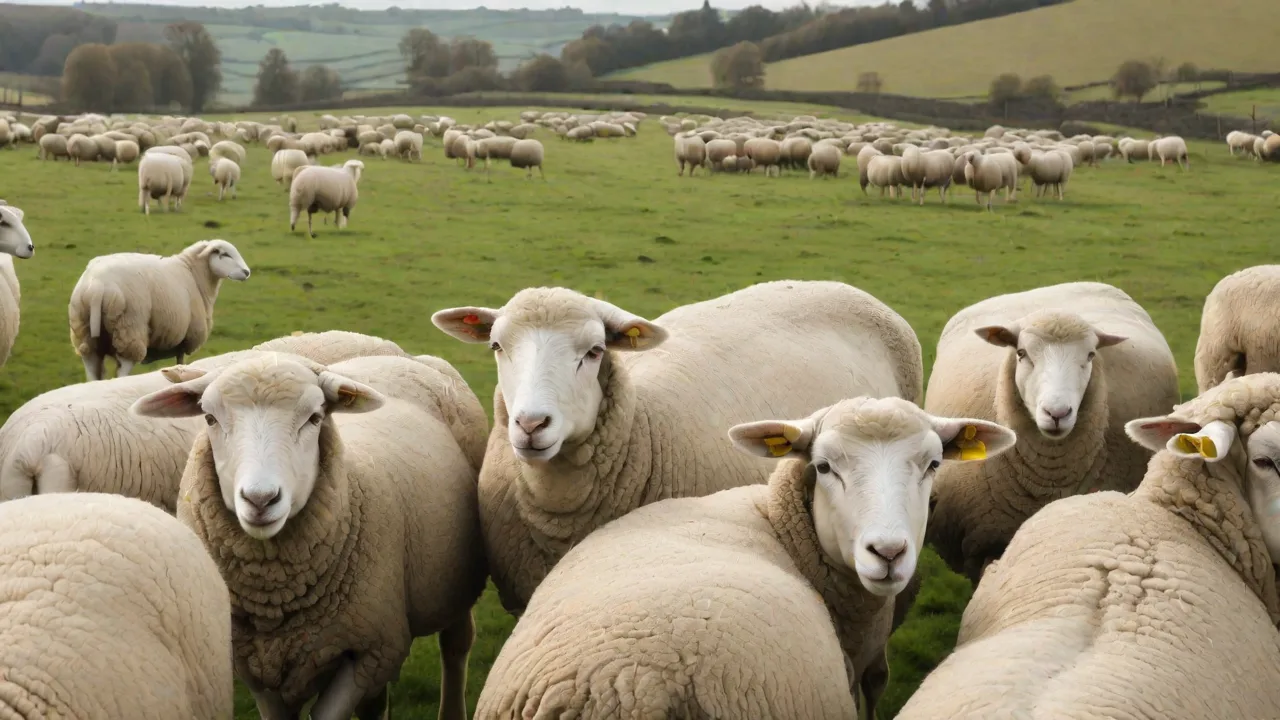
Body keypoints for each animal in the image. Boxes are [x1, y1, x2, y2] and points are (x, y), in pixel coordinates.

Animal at [68, 239, 251, 381]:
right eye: (225, 254)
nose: (247, 272)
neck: (194, 273)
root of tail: (97, 286)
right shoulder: (187, 337)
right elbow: (182, 363)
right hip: (129, 327)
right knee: (123, 370)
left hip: (84, 329)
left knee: (91, 368)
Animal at [131, 353, 488, 720]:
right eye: (210, 418)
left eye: (315, 418)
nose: (261, 499)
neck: (275, 600)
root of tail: (405, 357)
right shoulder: (256, 665)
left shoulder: (368, 652)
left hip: (456, 580)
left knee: (456, 645)